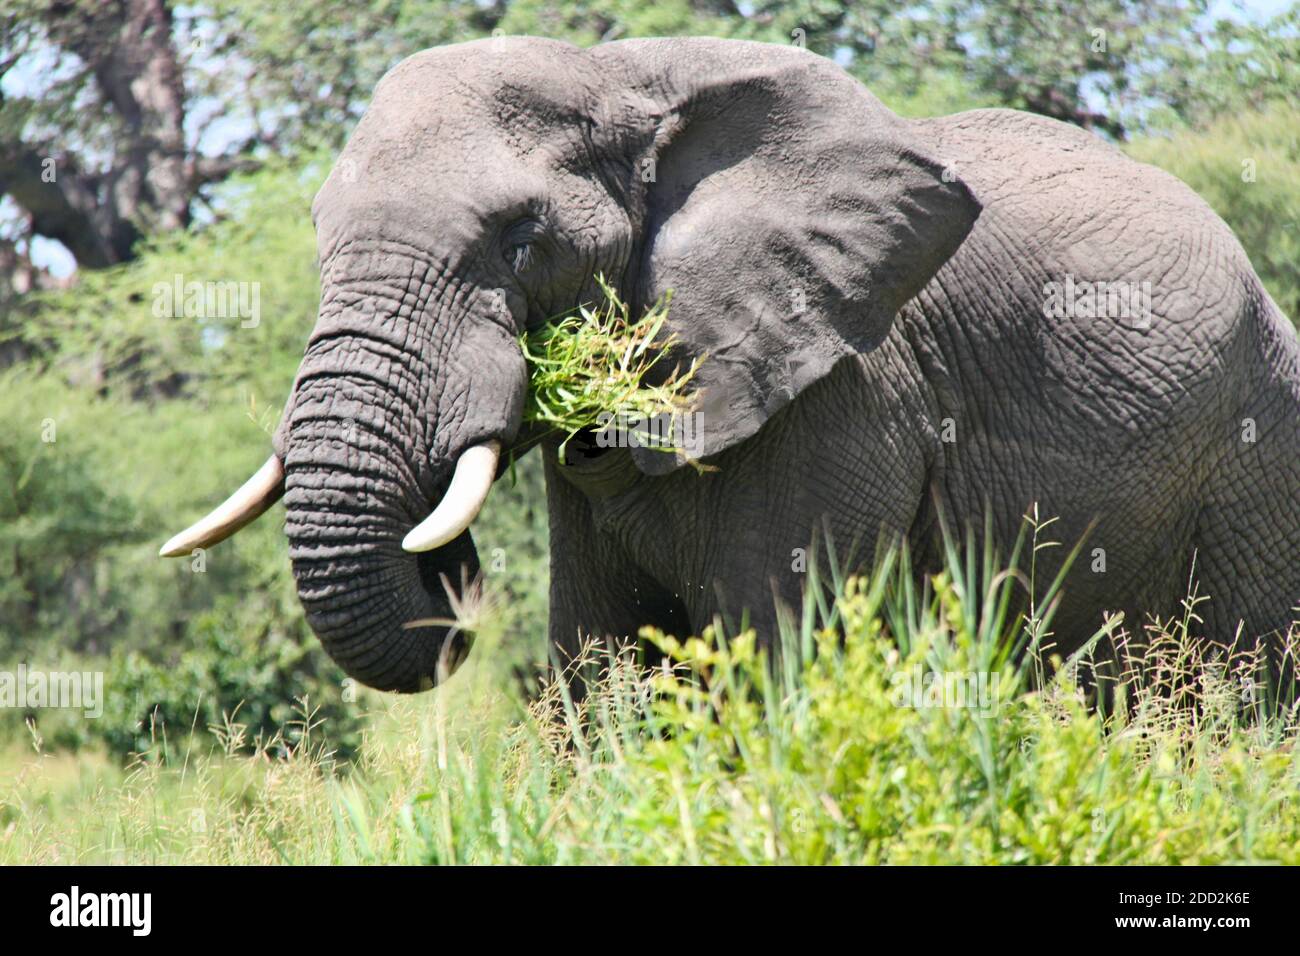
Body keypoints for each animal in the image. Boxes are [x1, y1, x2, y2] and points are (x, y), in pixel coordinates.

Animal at [161, 36, 1300, 694]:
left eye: (522, 238)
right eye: (319, 231)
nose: (448, 559)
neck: (623, 70)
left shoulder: (847, 393)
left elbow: (773, 644)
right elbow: (601, 659)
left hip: (1260, 450)